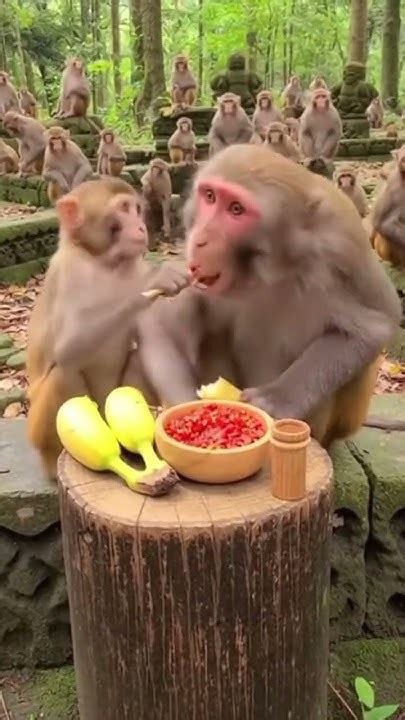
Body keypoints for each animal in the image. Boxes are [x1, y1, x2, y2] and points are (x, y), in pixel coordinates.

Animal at [26, 177, 190, 478]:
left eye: (137, 209)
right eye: (123, 209)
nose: (141, 227)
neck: (103, 261)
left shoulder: (135, 266)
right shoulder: (70, 271)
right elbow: (68, 347)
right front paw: (158, 278)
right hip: (38, 428)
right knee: (64, 371)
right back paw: (54, 464)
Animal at [137, 144, 401, 449]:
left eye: (236, 209)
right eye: (210, 196)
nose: (200, 240)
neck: (273, 264)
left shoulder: (343, 247)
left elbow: (373, 327)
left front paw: (275, 400)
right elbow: (163, 325)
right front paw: (185, 405)